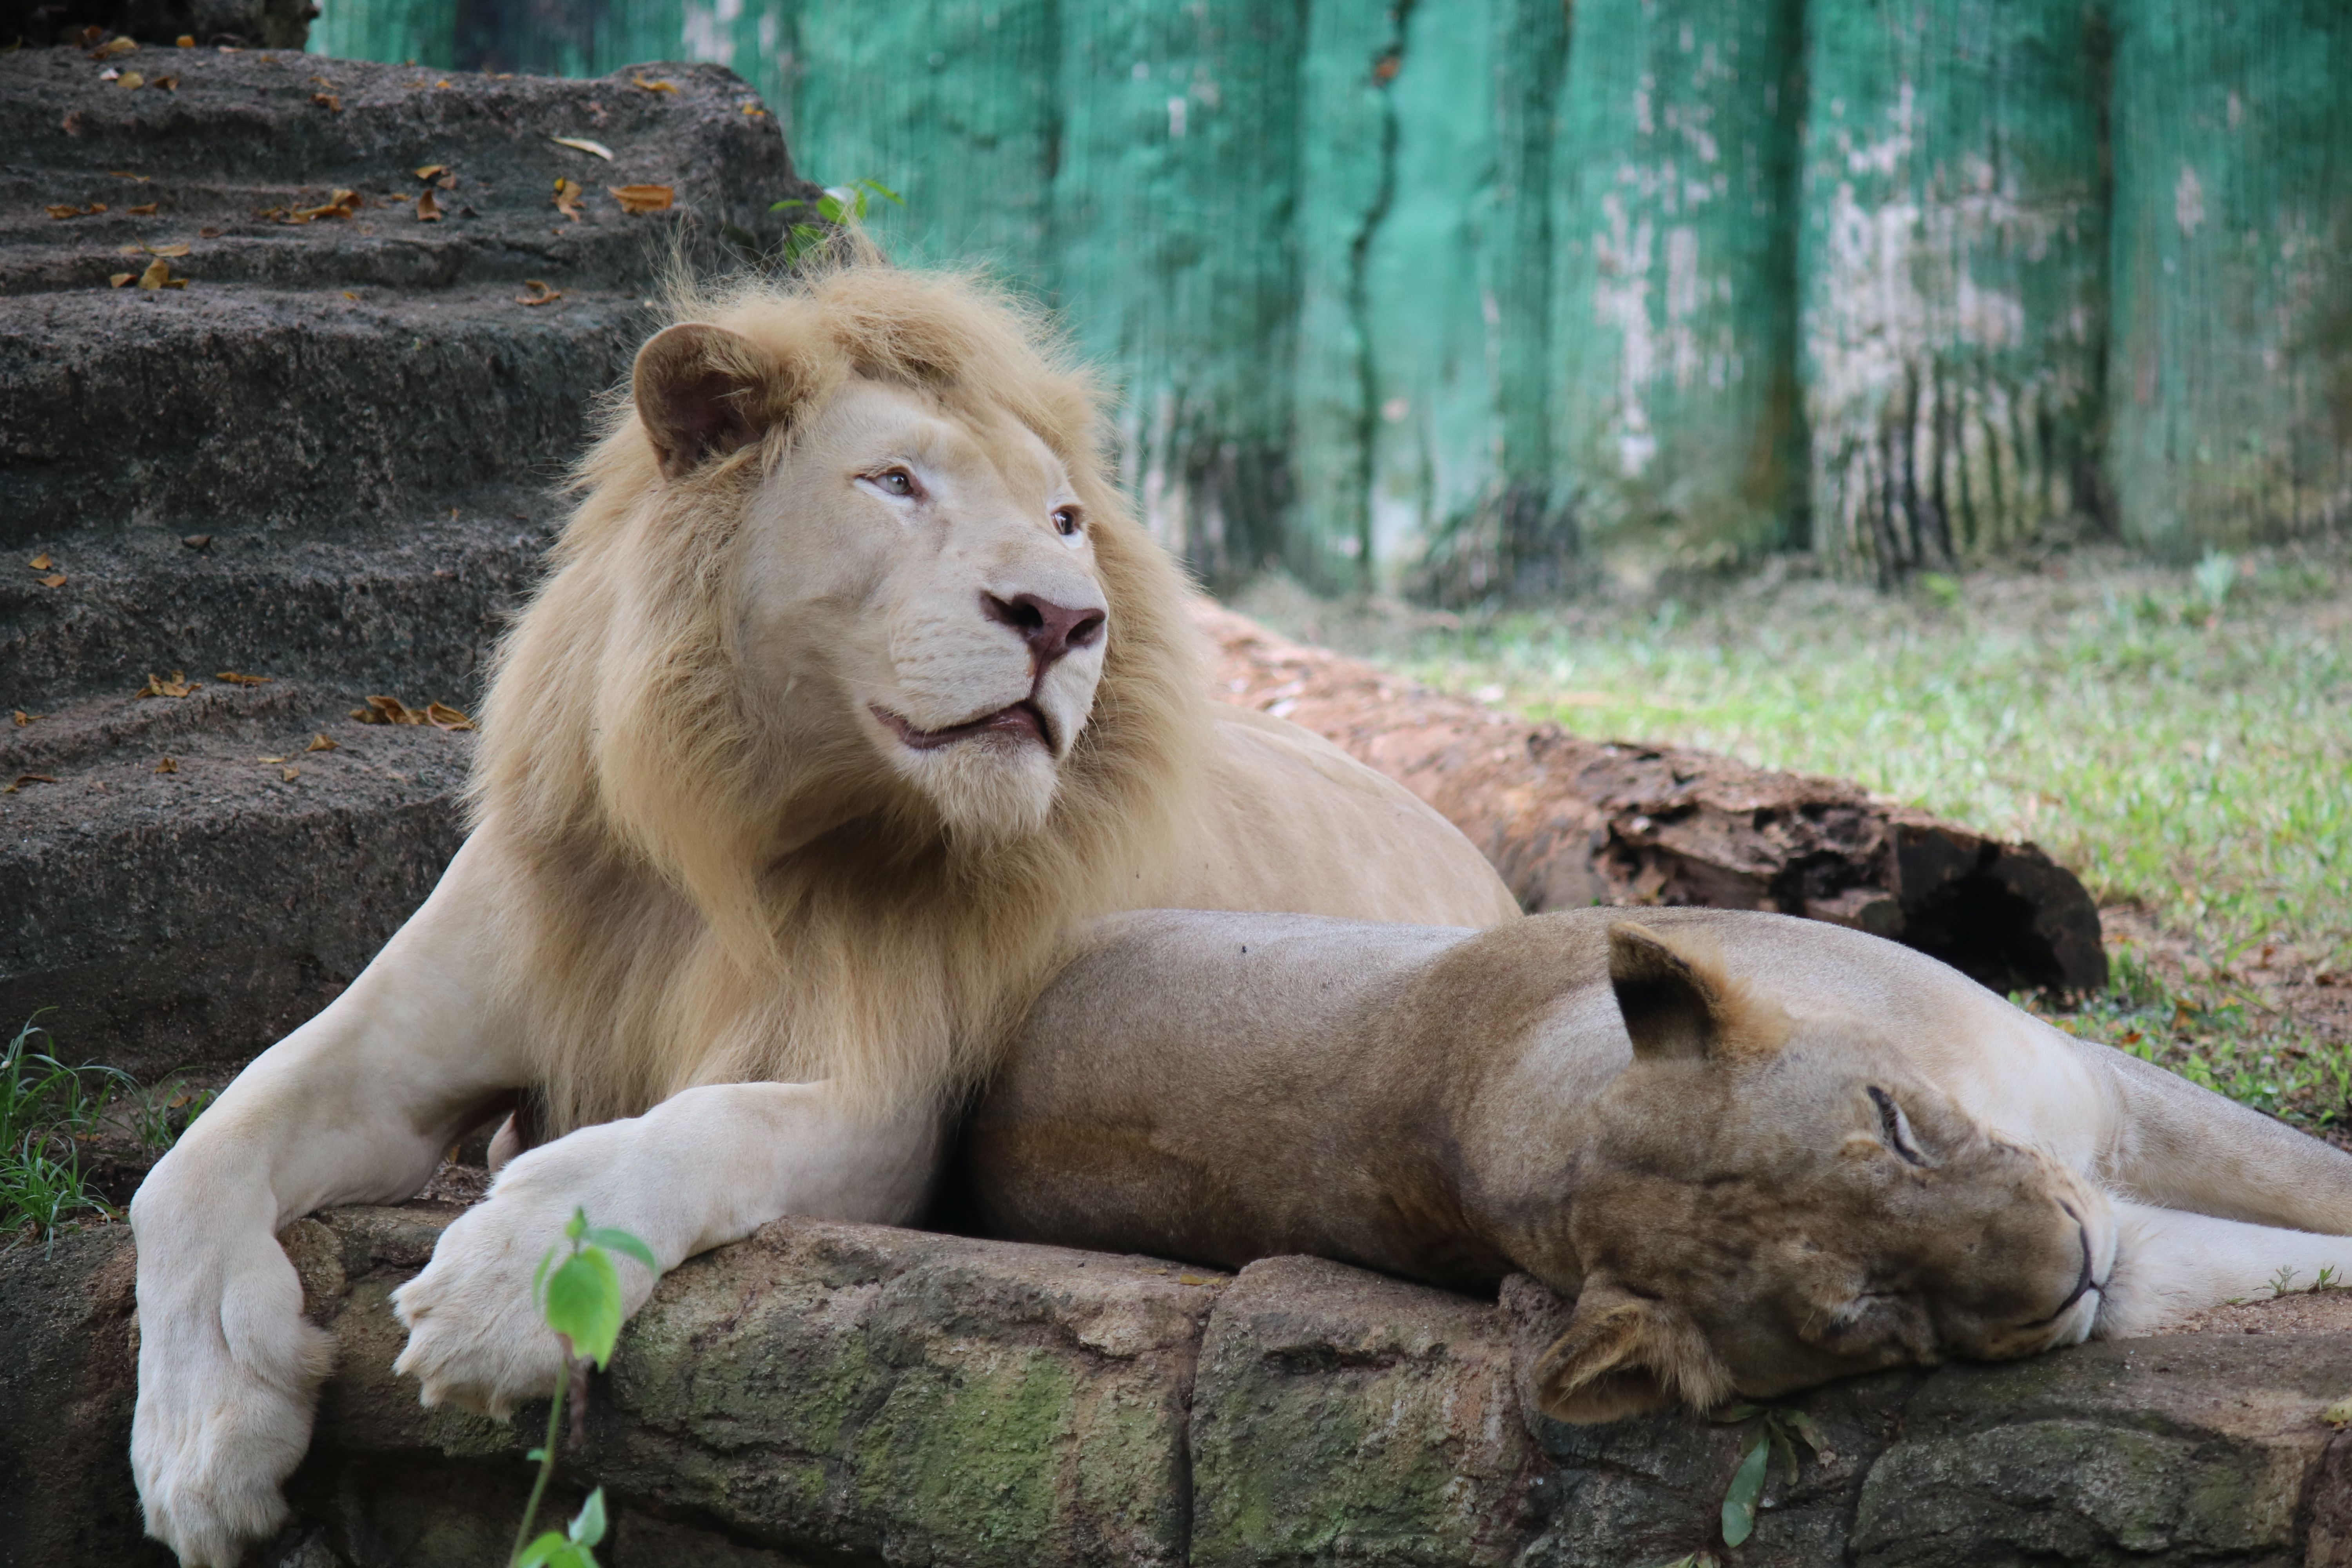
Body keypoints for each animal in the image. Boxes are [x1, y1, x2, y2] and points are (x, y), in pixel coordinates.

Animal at [126, 263, 1519, 1566]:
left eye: (1065, 520)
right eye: (894, 482)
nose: (1064, 618)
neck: (740, 829)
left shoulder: (896, 1112)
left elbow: (694, 1130)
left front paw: (512, 1285)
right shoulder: (403, 1039)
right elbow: (193, 1161)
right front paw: (200, 1452)